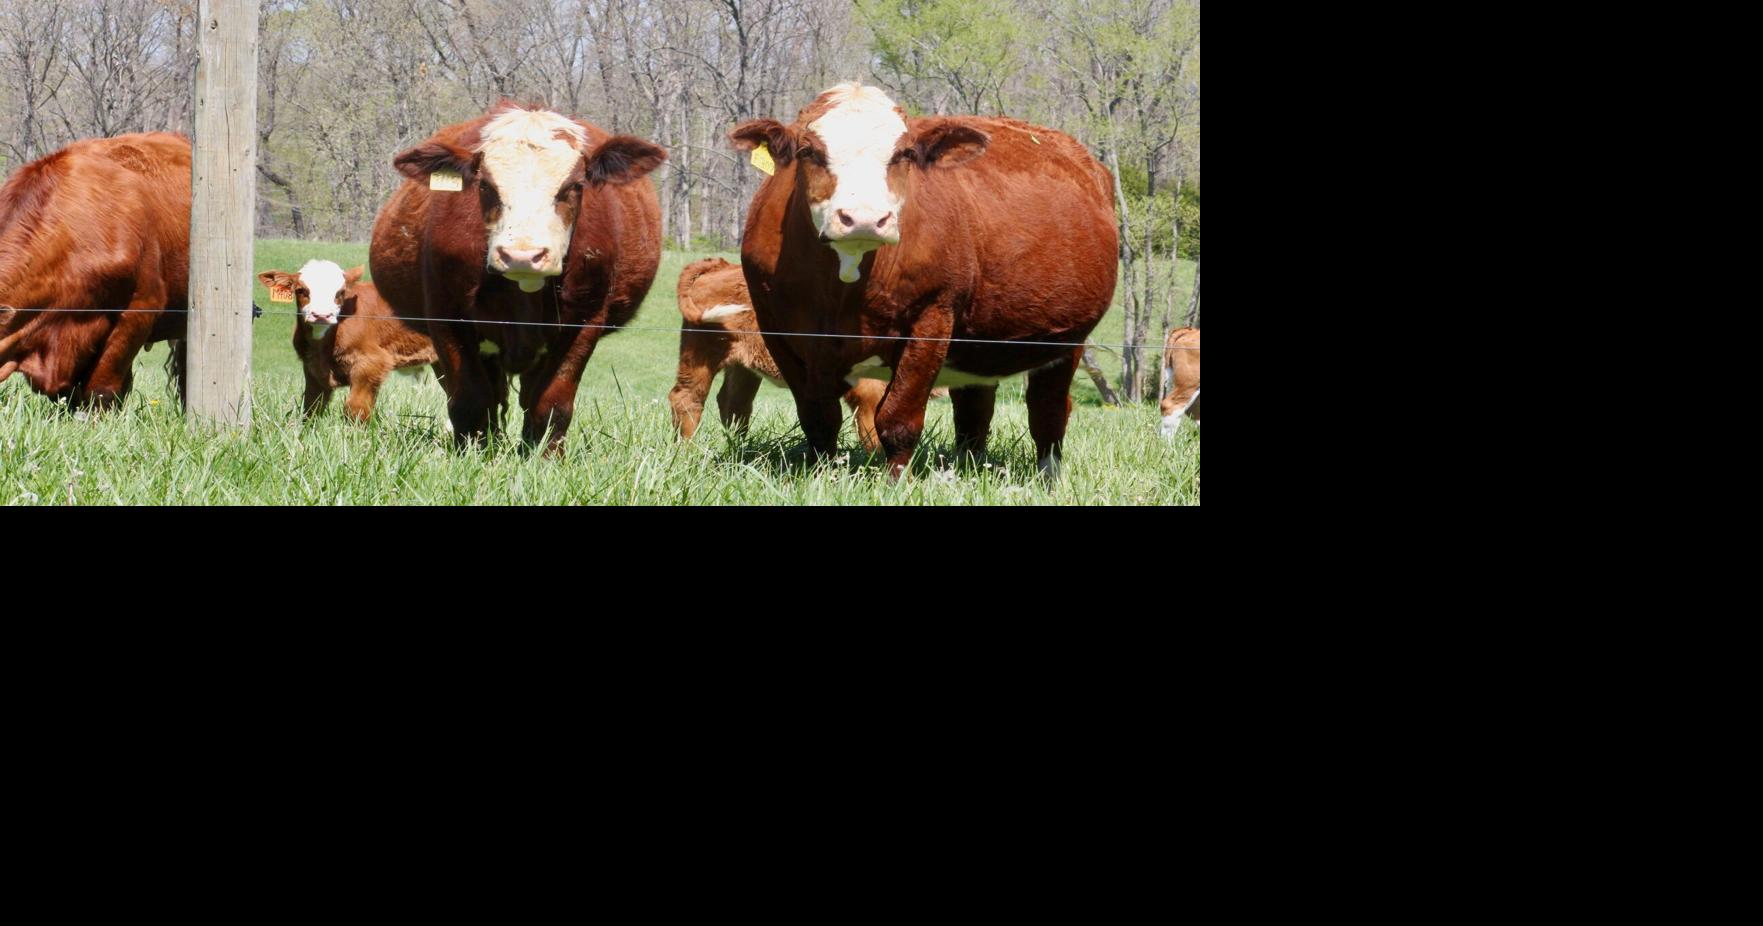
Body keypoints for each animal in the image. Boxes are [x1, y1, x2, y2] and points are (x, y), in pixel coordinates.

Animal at [257, 260, 440, 421]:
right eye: (301, 290)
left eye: (340, 292)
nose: (322, 315)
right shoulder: (311, 366)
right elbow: (311, 407)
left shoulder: (372, 362)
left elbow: (355, 408)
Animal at [369, 101, 666, 452]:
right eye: (485, 185)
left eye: (574, 186)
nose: (522, 255)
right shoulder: (446, 318)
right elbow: (470, 399)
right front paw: (475, 453)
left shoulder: (585, 321)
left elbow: (551, 403)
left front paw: (543, 456)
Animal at [669, 256, 888, 451]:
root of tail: (723, 265)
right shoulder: (868, 389)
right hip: (700, 354)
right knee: (687, 399)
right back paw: (686, 452)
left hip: (742, 366)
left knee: (733, 402)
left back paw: (736, 449)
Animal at [729, 83, 1118, 479]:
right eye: (809, 151)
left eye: (904, 154)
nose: (864, 218)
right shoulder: (781, 332)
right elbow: (819, 418)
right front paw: (823, 475)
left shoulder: (931, 317)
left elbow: (898, 418)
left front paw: (896, 481)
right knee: (975, 410)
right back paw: (967, 467)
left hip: (1066, 340)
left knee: (1048, 411)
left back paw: (1047, 477)